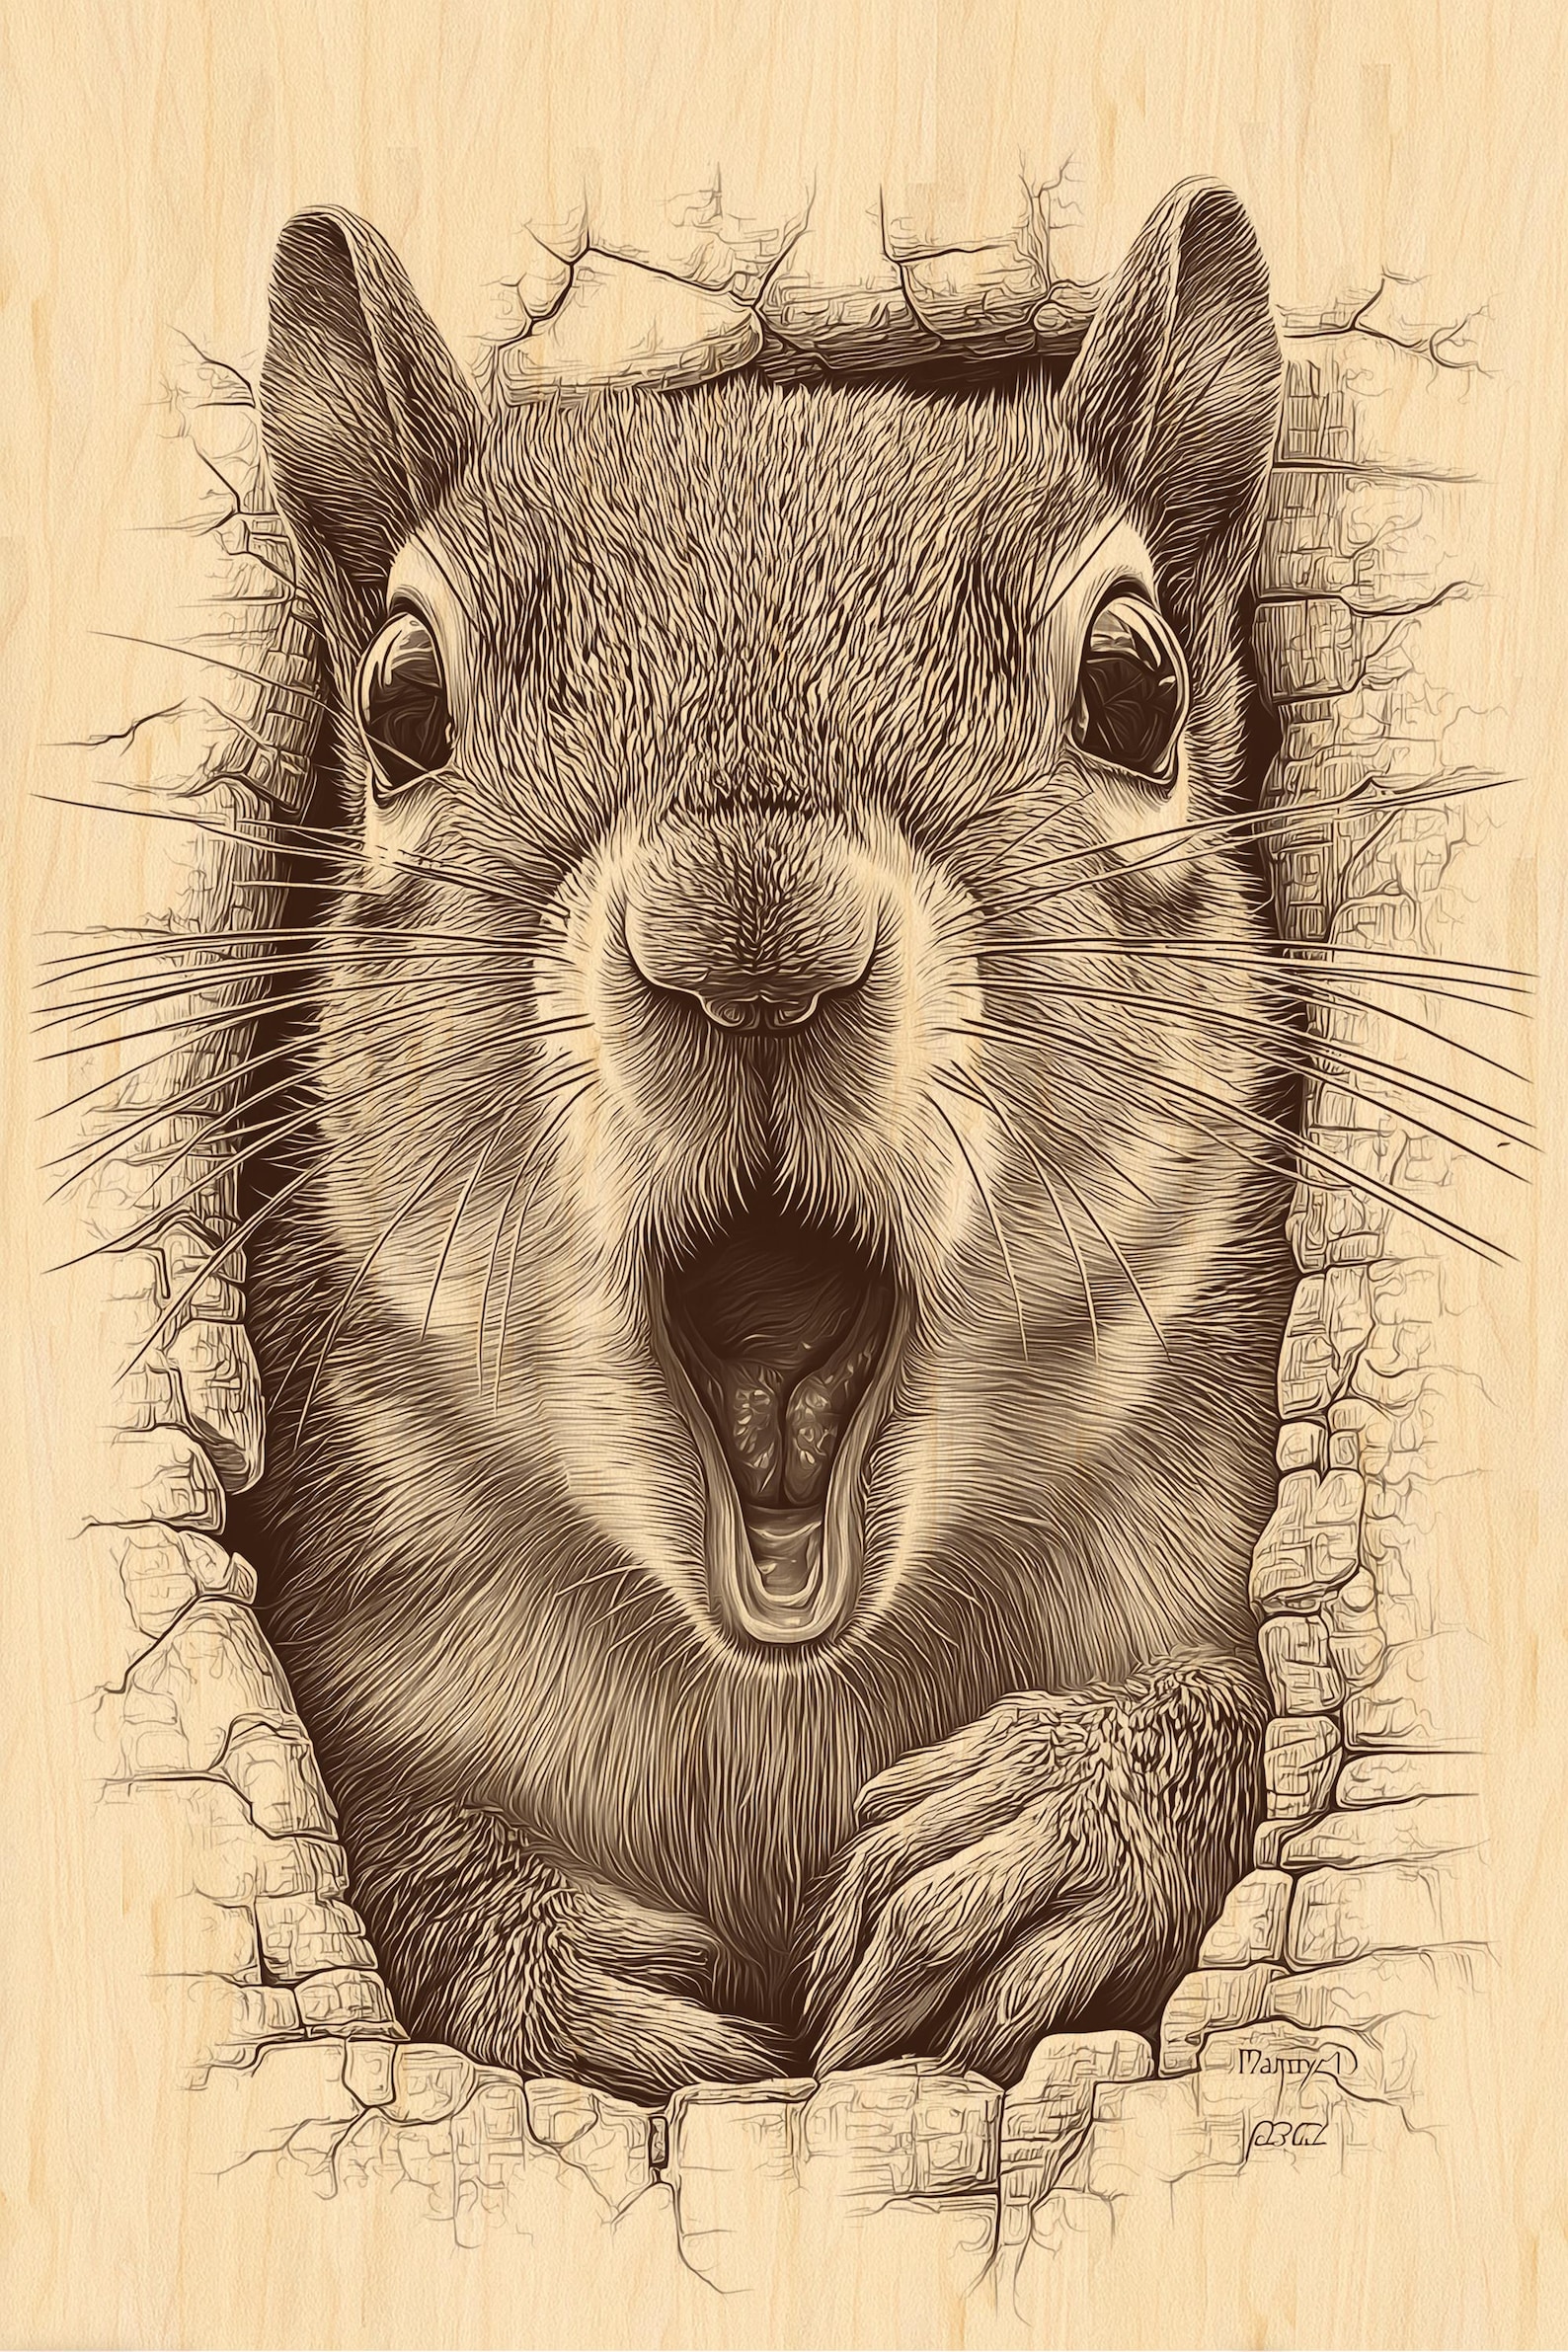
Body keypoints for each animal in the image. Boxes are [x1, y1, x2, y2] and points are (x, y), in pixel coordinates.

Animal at [241, 180, 1295, 2105]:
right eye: (403, 705)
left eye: (1130, 684)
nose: (752, 937)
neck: (790, 1689)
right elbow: (359, 1826)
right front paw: (523, 1949)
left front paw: (1055, 1828)